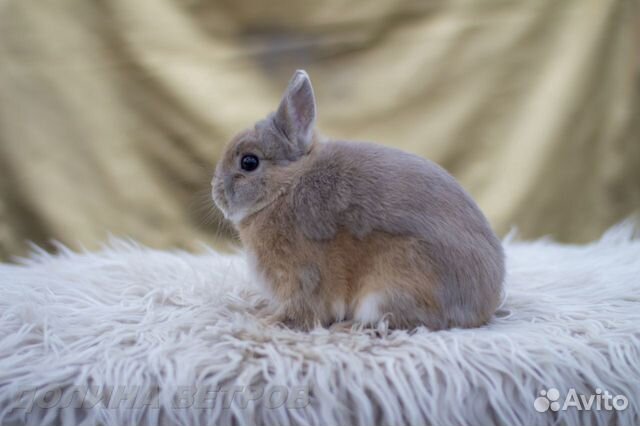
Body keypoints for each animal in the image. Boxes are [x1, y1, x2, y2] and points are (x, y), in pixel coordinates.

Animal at [212, 70, 505, 330]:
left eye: (249, 162)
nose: (216, 193)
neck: (285, 187)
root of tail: (482, 308)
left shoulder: (303, 275)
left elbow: (301, 310)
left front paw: (267, 321)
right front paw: (260, 311)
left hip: (392, 285)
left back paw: (347, 328)